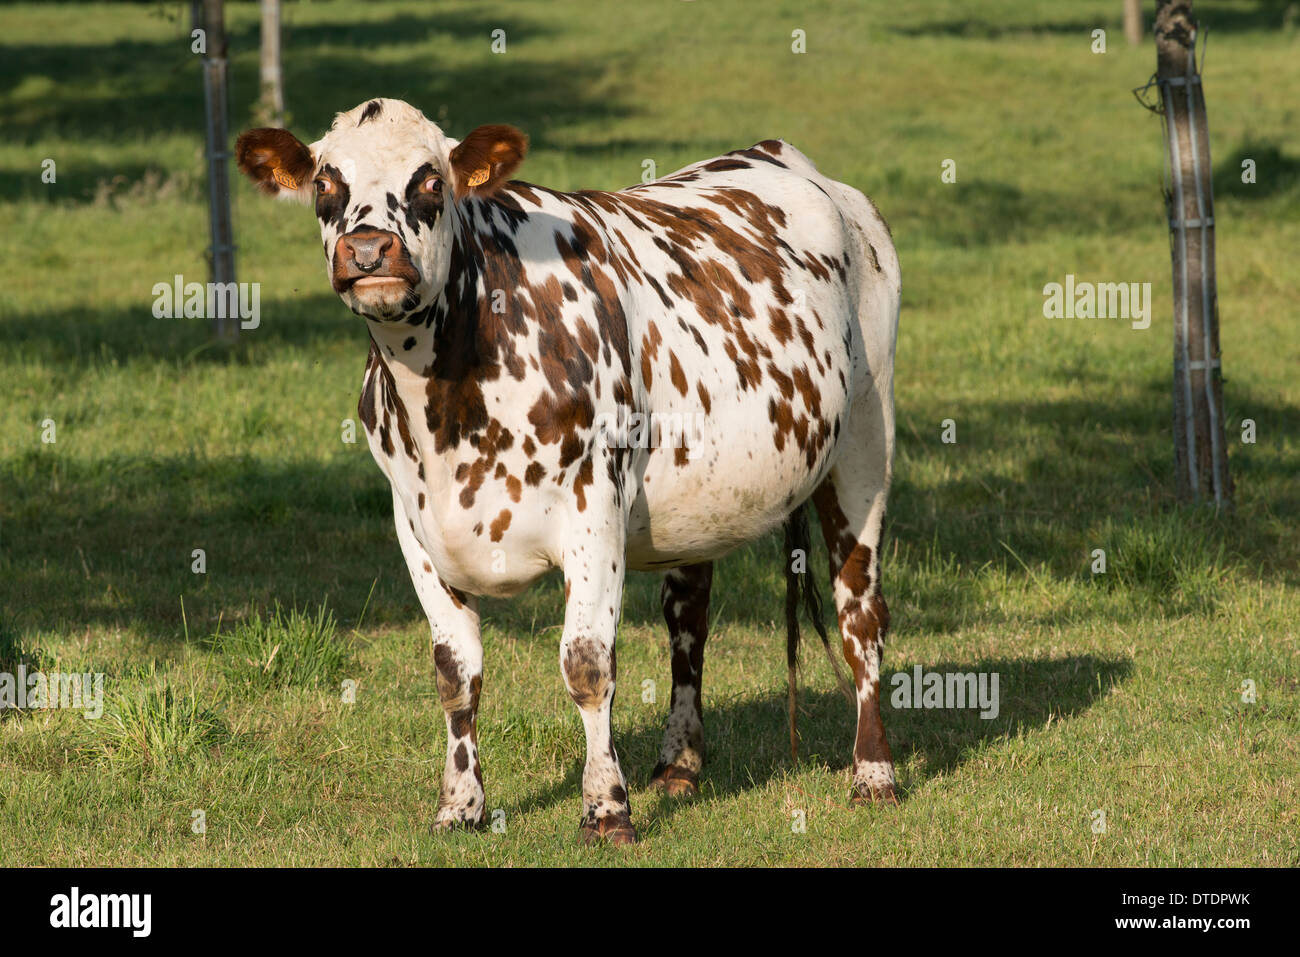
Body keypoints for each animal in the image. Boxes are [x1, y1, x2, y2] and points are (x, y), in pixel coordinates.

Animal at [235, 98, 900, 845]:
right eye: (326, 182)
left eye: (432, 179)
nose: (370, 250)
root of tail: (783, 155)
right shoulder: (414, 526)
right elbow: (455, 672)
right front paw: (460, 804)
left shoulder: (593, 510)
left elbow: (587, 664)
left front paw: (606, 808)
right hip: (698, 498)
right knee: (688, 617)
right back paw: (679, 763)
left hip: (865, 441)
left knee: (860, 610)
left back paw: (874, 772)